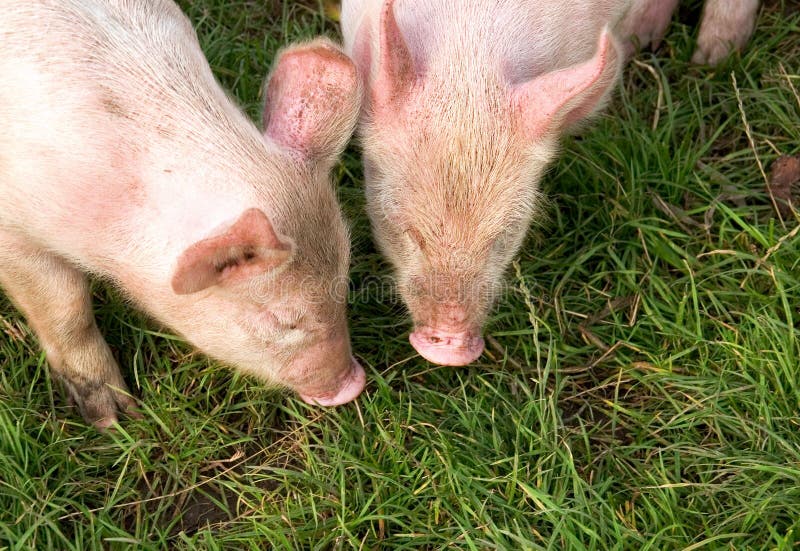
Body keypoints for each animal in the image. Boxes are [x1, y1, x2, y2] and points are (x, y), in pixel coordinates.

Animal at [0, 0, 365, 429]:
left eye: (342, 283)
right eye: (284, 321)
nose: (353, 384)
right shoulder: (13, 230)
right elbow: (68, 310)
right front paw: (117, 421)